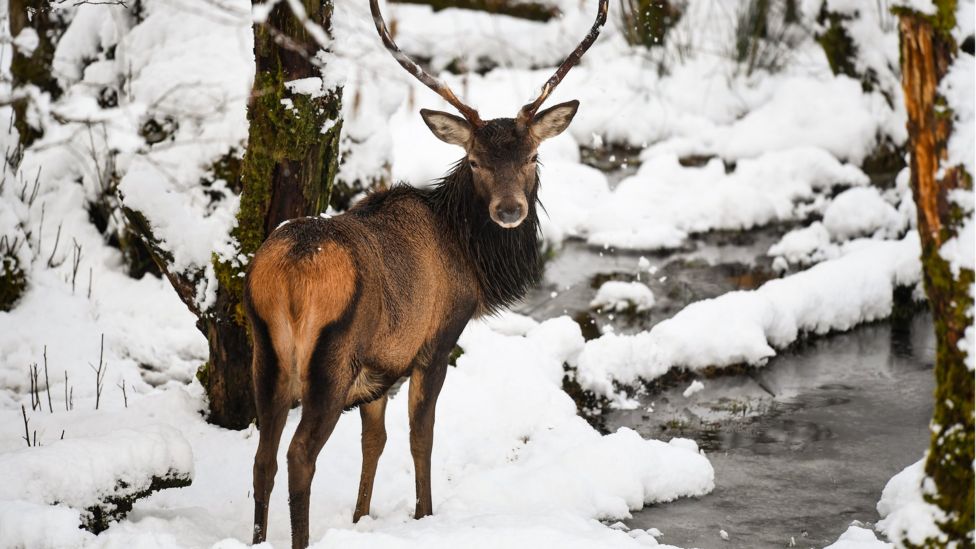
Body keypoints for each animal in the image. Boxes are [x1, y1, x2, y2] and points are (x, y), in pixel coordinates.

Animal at [244, 0, 608, 546]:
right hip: (331, 358)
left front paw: (360, 519)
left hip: (265, 351)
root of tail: (288, 272)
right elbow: (422, 437)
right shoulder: (436, 339)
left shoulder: (380, 369)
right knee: (298, 454)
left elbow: (375, 440)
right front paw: (424, 516)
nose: (509, 210)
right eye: (474, 160)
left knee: (262, 458)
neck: (472, 260)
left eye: (532, 155)